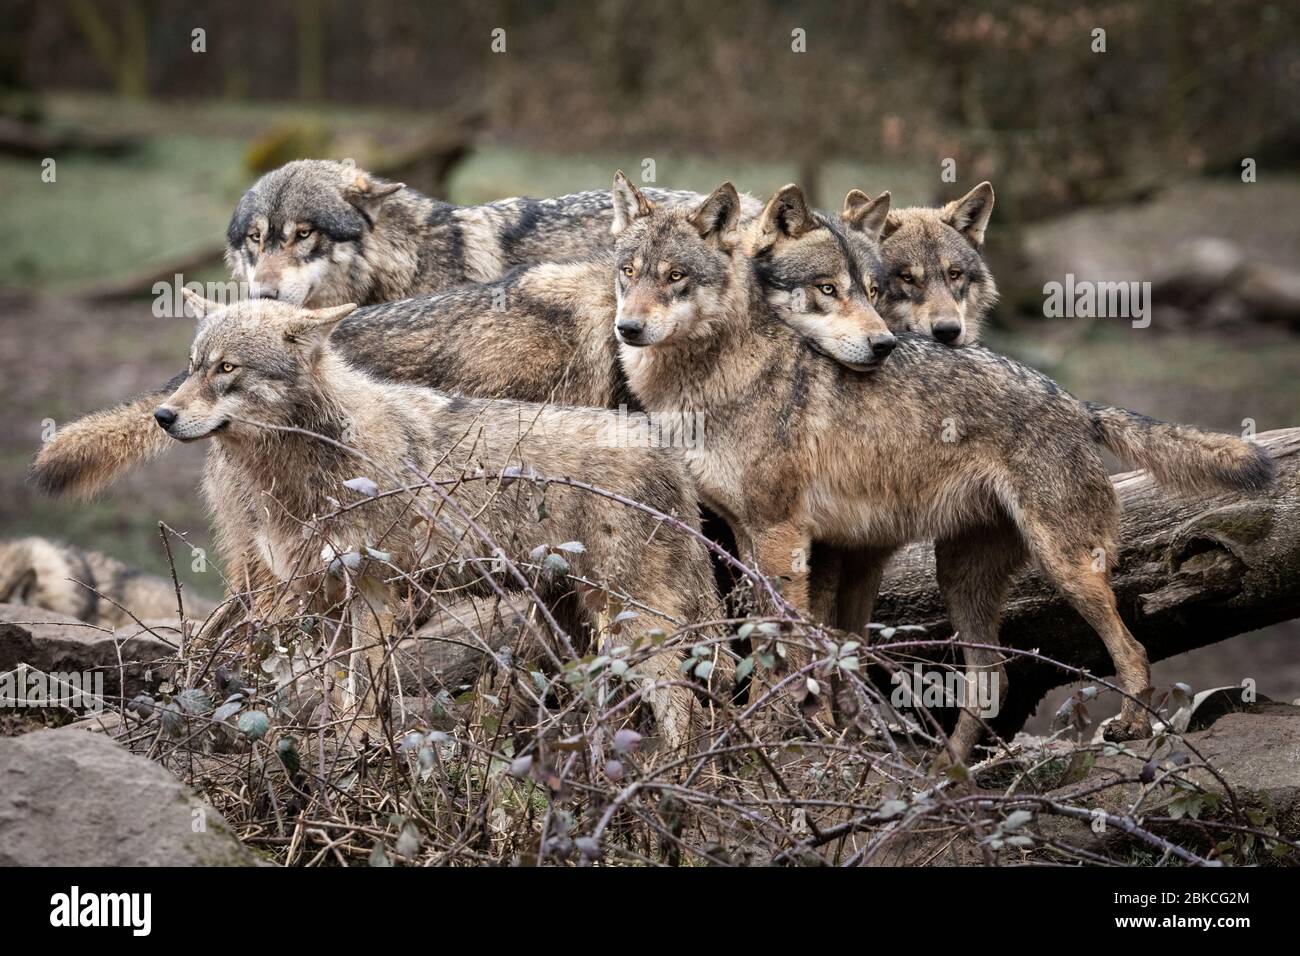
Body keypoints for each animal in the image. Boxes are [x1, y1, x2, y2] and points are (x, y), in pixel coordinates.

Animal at [152, 292, 725, 748]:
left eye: (227, 369)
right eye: (194, 365)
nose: (163, 415)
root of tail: (666, 450)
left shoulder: (374, 593)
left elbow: (362, 694)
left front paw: (359, 753)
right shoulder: (326, 601)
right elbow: (333, 691)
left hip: (630, 622)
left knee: (686, 707)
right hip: (578, 618)